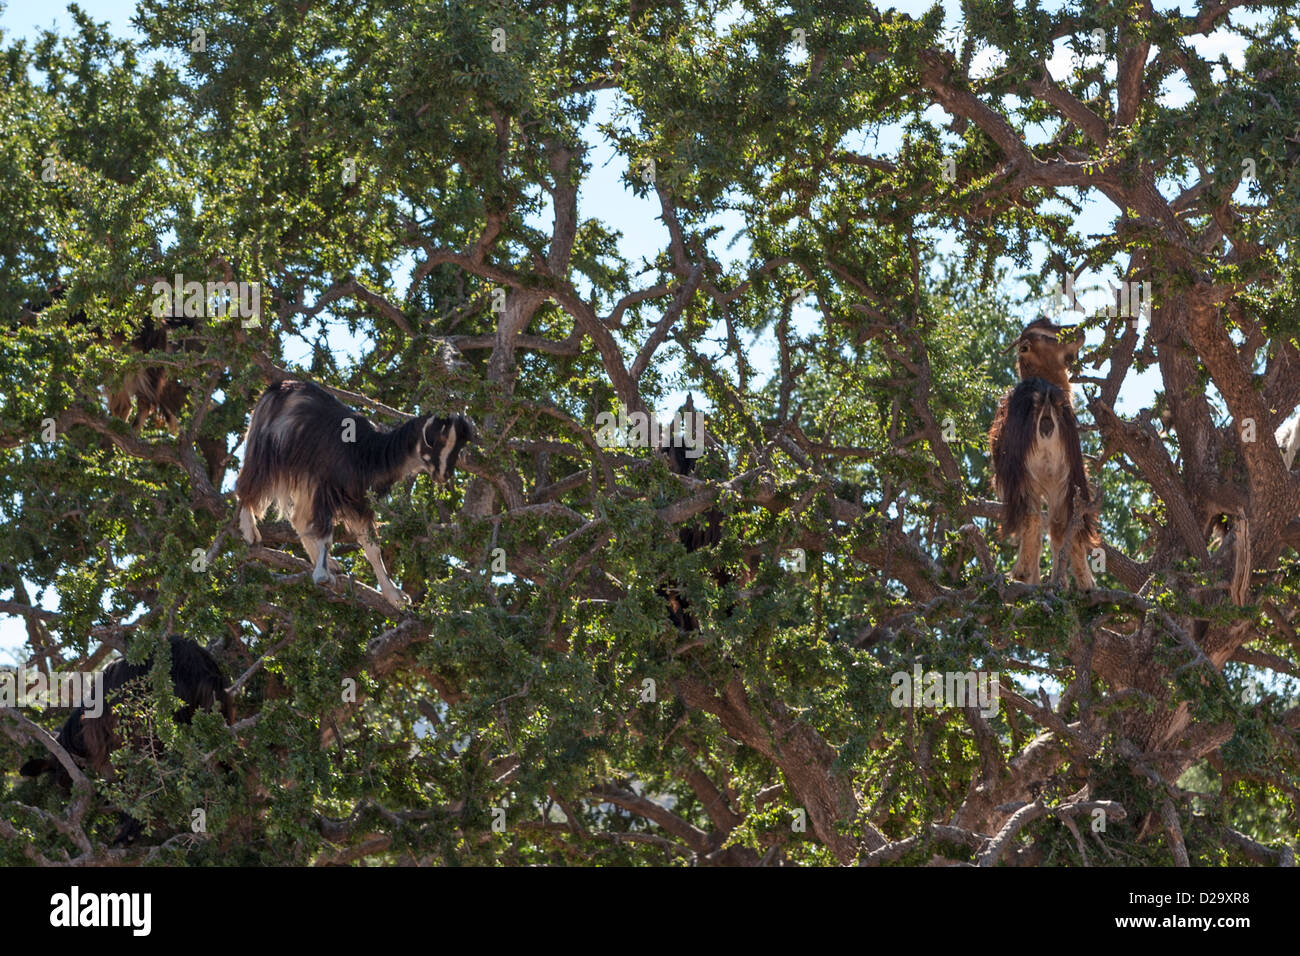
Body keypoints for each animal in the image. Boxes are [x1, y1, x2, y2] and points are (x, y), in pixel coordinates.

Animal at [235, 380, 474, 608]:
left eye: (460, 446)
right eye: (438, 440)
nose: (444, 475)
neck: (369, 452)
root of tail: (277, 387)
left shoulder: (359, 502)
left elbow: (373, 548)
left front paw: (393, 596)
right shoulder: (326, 487)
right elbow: (326, 535)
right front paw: (322, 576)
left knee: (298, 517)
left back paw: (327, 562)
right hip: (269, 448)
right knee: (247, 485)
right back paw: (250, 531)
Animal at [988, 317, 1099, 589]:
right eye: (1046, 335)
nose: (1078, 331)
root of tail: (1046, 398)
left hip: (1025, 476)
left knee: (1033, 519)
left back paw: (1022, 574)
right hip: (1067, 476)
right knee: (1063, 524)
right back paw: (1083, 585)